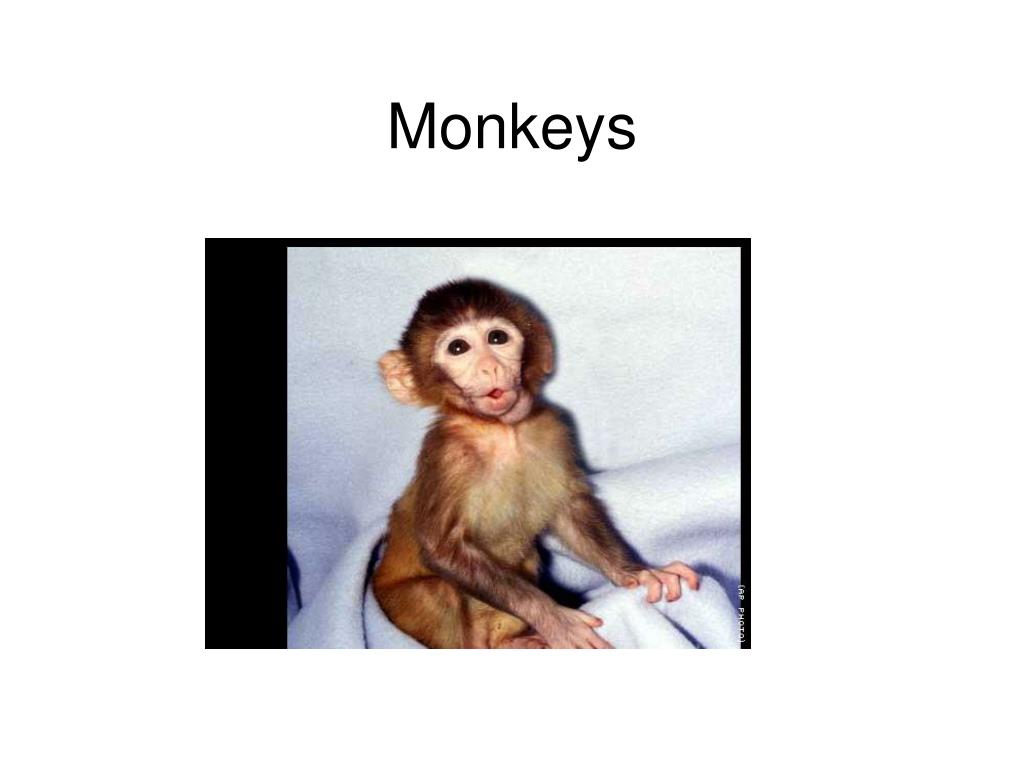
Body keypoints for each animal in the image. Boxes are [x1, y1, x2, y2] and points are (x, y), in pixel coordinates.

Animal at [371, 279, 699, 648]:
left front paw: (637, 572)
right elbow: (443, 549)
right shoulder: (447, 454)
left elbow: (568, 509)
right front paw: (554, 618)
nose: (490, 367)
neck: (501, 431)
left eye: (497, 338)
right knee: (438, 591)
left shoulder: (550, 429)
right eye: (458, 348)